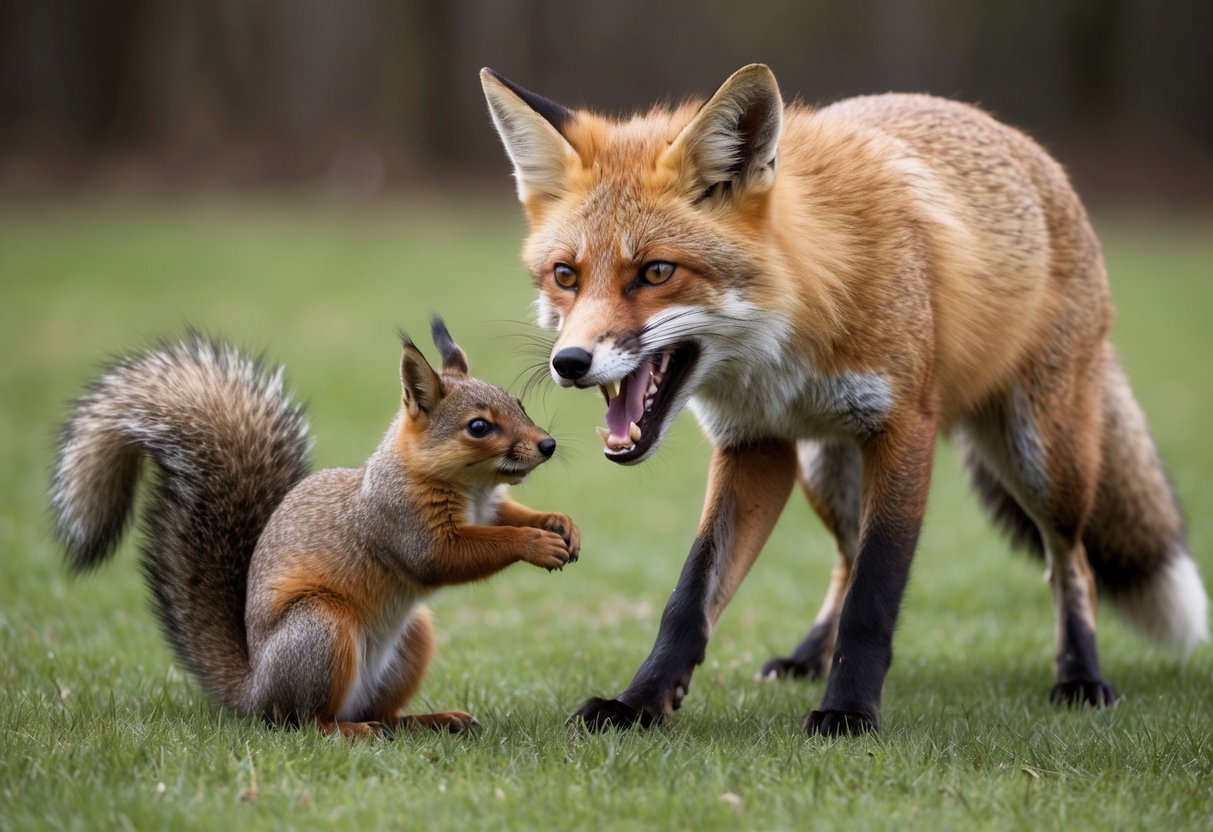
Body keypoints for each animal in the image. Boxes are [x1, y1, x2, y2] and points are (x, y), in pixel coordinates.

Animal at [49, 317, 580, 738]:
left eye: (519, 402)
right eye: (478, 427)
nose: (548, 445)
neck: (471, 489)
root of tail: (254, 692)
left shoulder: (488, 508)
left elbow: (506, 517)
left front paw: (560, 524)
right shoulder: (402, 525)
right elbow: (449, 556)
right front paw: (535, 543)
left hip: (412, 639)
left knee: (381, 712)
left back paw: (430, 720)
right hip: (321, 632)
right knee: (305, 720)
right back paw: (349, 731)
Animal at [480, 63, 1208, 735]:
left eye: (656, 272)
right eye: (566, 275)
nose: (570, 362)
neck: (783, 345)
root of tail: (1026, 145)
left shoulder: (903, 430)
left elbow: (876, 592)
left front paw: (849, 712)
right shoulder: (755, 445)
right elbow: (691, 595)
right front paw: (640, 702)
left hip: (1042, 459)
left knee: (1072, 565)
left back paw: (1081, 676)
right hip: (826, 467)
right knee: (843, 559)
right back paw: (807, 656)